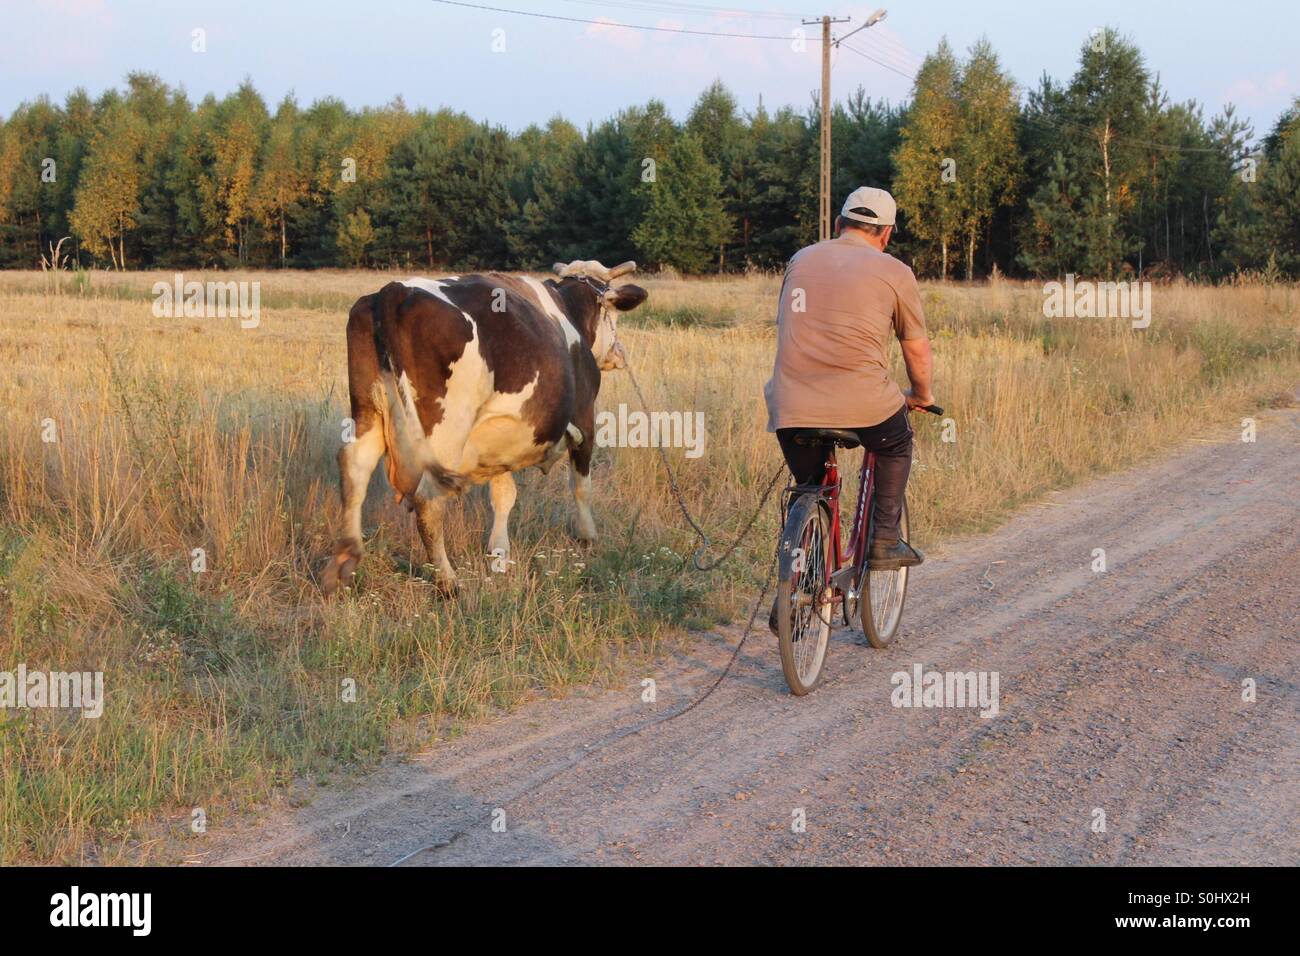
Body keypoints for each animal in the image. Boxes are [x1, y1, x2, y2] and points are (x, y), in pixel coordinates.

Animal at [320, 259, 649, 595]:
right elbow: (582, 486)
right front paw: (587, 538)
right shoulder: (584, 420)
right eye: (613, 315)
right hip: (445, 432)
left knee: (354, 467)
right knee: (427, 498)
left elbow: (504, 495)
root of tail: (394, 290)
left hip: (369, 412)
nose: (618, 354)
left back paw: (343, 563)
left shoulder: (498, 440)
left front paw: (499, 553)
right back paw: (448, 581)